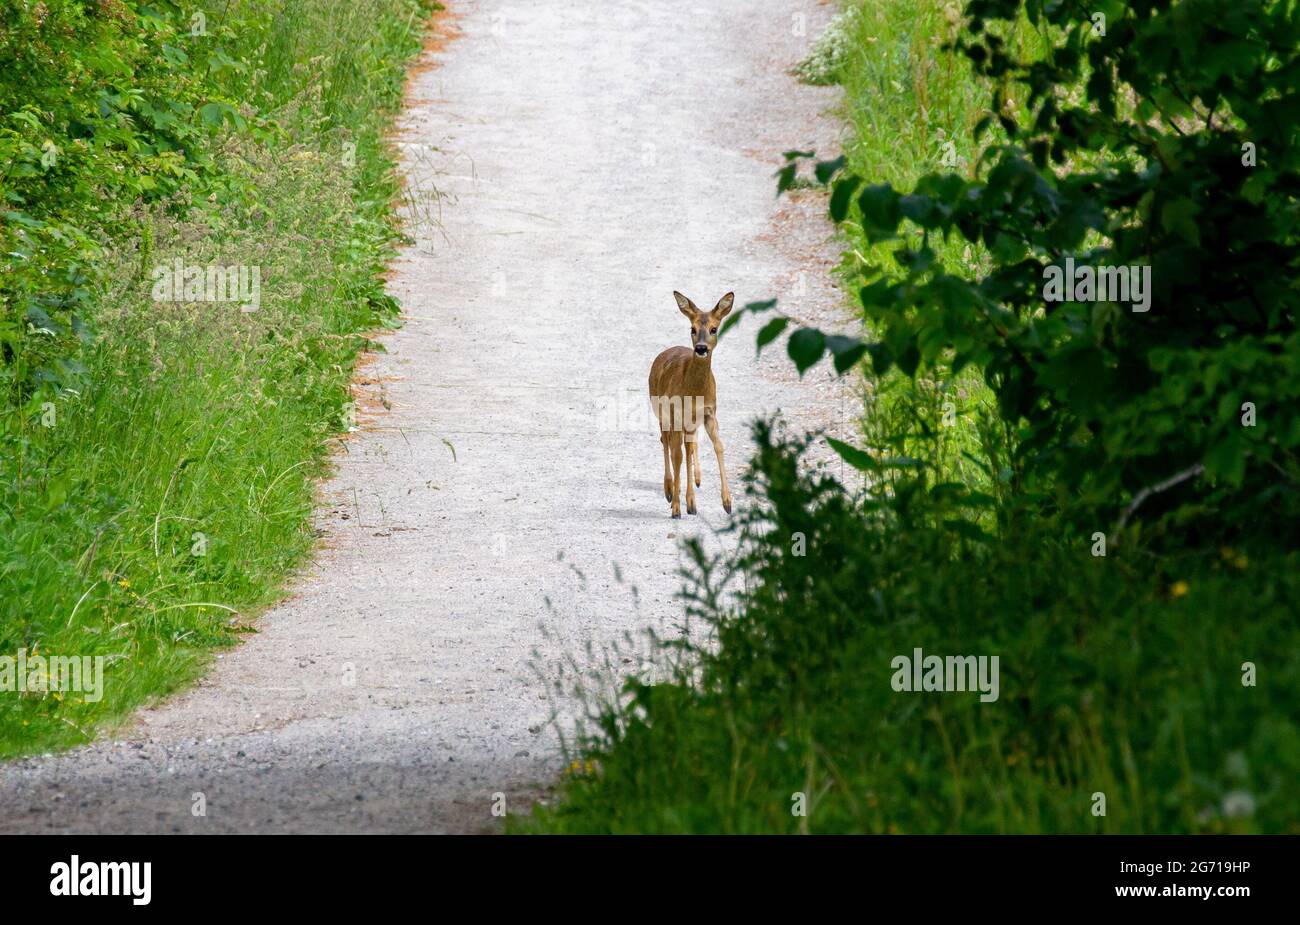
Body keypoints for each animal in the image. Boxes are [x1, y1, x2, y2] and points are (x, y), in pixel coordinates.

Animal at [648, 291, 734, 518]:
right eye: (692, 329)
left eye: (714, 328)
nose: (701, 348)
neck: (695, 392)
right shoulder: (676, 413)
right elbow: (676, 455)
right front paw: (676, 507)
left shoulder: (709, 413)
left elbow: (718, 446)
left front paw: (727, 502)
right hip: (661, 411)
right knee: (667, 443)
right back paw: (670, 491)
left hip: (689, 423)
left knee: (687, 447)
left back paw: (691, 500)